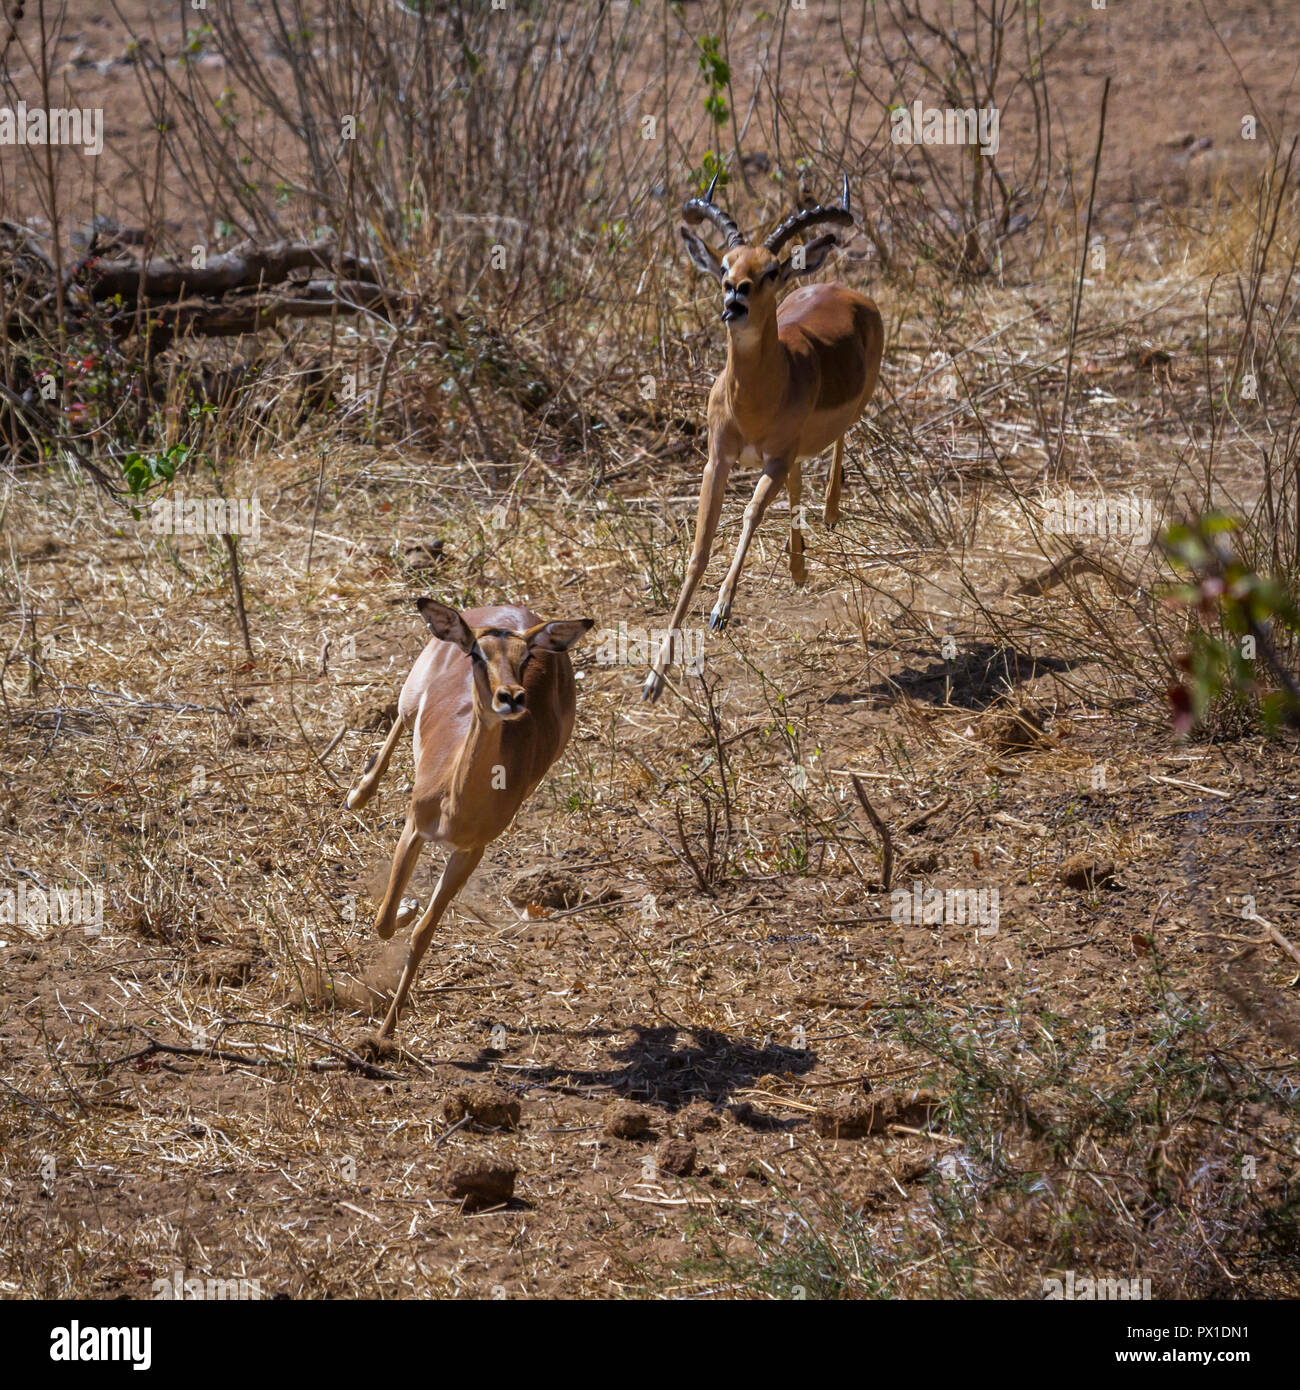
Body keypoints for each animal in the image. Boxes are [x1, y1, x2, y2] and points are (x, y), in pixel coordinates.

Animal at [347, 599, 593, 1040]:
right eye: (477, 655)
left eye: (526, 657)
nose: (512, 697)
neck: (455, 804)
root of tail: (515, 608)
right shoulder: (414, 828)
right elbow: (384, 920)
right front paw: (407, 904)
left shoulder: (470, 851)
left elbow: (422, 933)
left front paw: (387, 1031)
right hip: (412, 696)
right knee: (398, 721)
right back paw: (357, 796)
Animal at [642, 175, 884, 703]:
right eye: (725, 266)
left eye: (771, 270)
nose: (735, 295)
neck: (754, 401)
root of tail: (843, 289)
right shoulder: (717, 461)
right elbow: (698, 551)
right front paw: (653, 679)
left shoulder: (771, 460)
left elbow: (751, 513)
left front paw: (721, 611)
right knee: (800, 476)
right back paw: (798, 567)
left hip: (855, 405)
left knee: (839, 440)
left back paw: (830, 513)